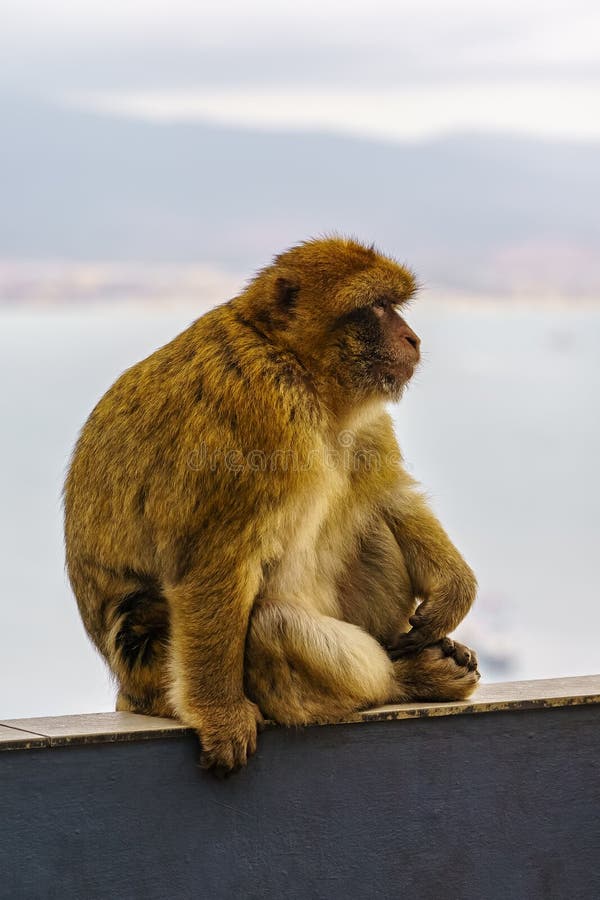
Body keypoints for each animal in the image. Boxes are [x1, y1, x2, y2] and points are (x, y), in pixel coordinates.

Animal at [63, 236, 479, 774]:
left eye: (393, 306)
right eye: (377, 307)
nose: (412, 339)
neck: (295, 366)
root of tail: (131, 695)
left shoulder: (361, 420)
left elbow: (390, 494)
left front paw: (453, 592)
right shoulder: (260, 413)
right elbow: (213, 563)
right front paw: (220, 715)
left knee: (368, 524)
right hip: (155, 668)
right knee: (269, 627)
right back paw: (404, 680)